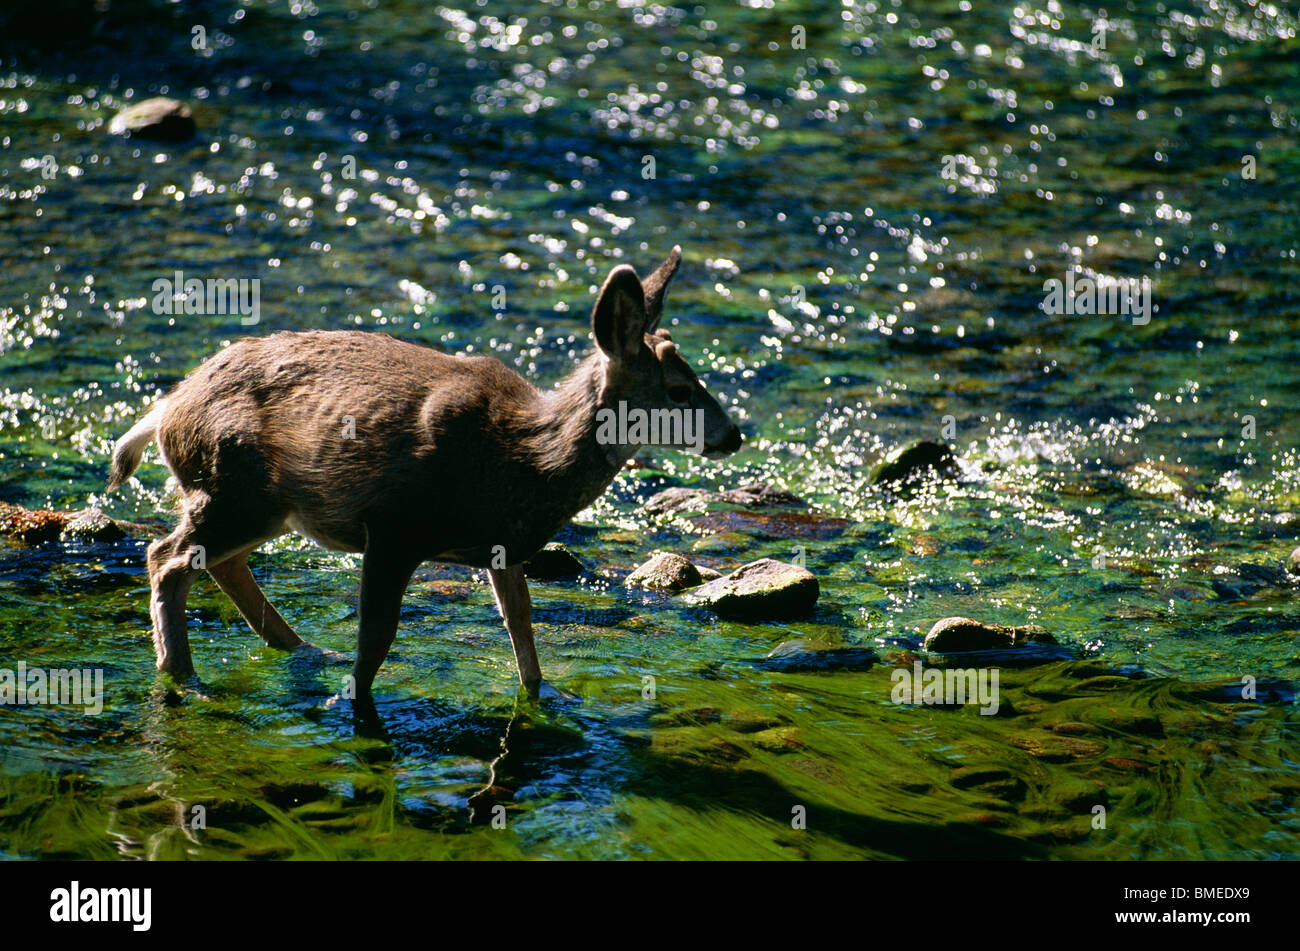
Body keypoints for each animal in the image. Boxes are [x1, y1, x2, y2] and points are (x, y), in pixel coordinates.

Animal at [107, 247, 742, 698]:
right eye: (680, 390)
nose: (734, 436)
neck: (524, 464)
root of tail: (168, 408)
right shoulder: (394, 525)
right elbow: (376, 639)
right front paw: (350, 703)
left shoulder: (502, 547)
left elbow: (522, 632)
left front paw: (548, 696)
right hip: (232, 485)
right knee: (165, 558)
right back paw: (184, 674)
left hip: (257, 503)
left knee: (216, 563)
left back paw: (303, 649)